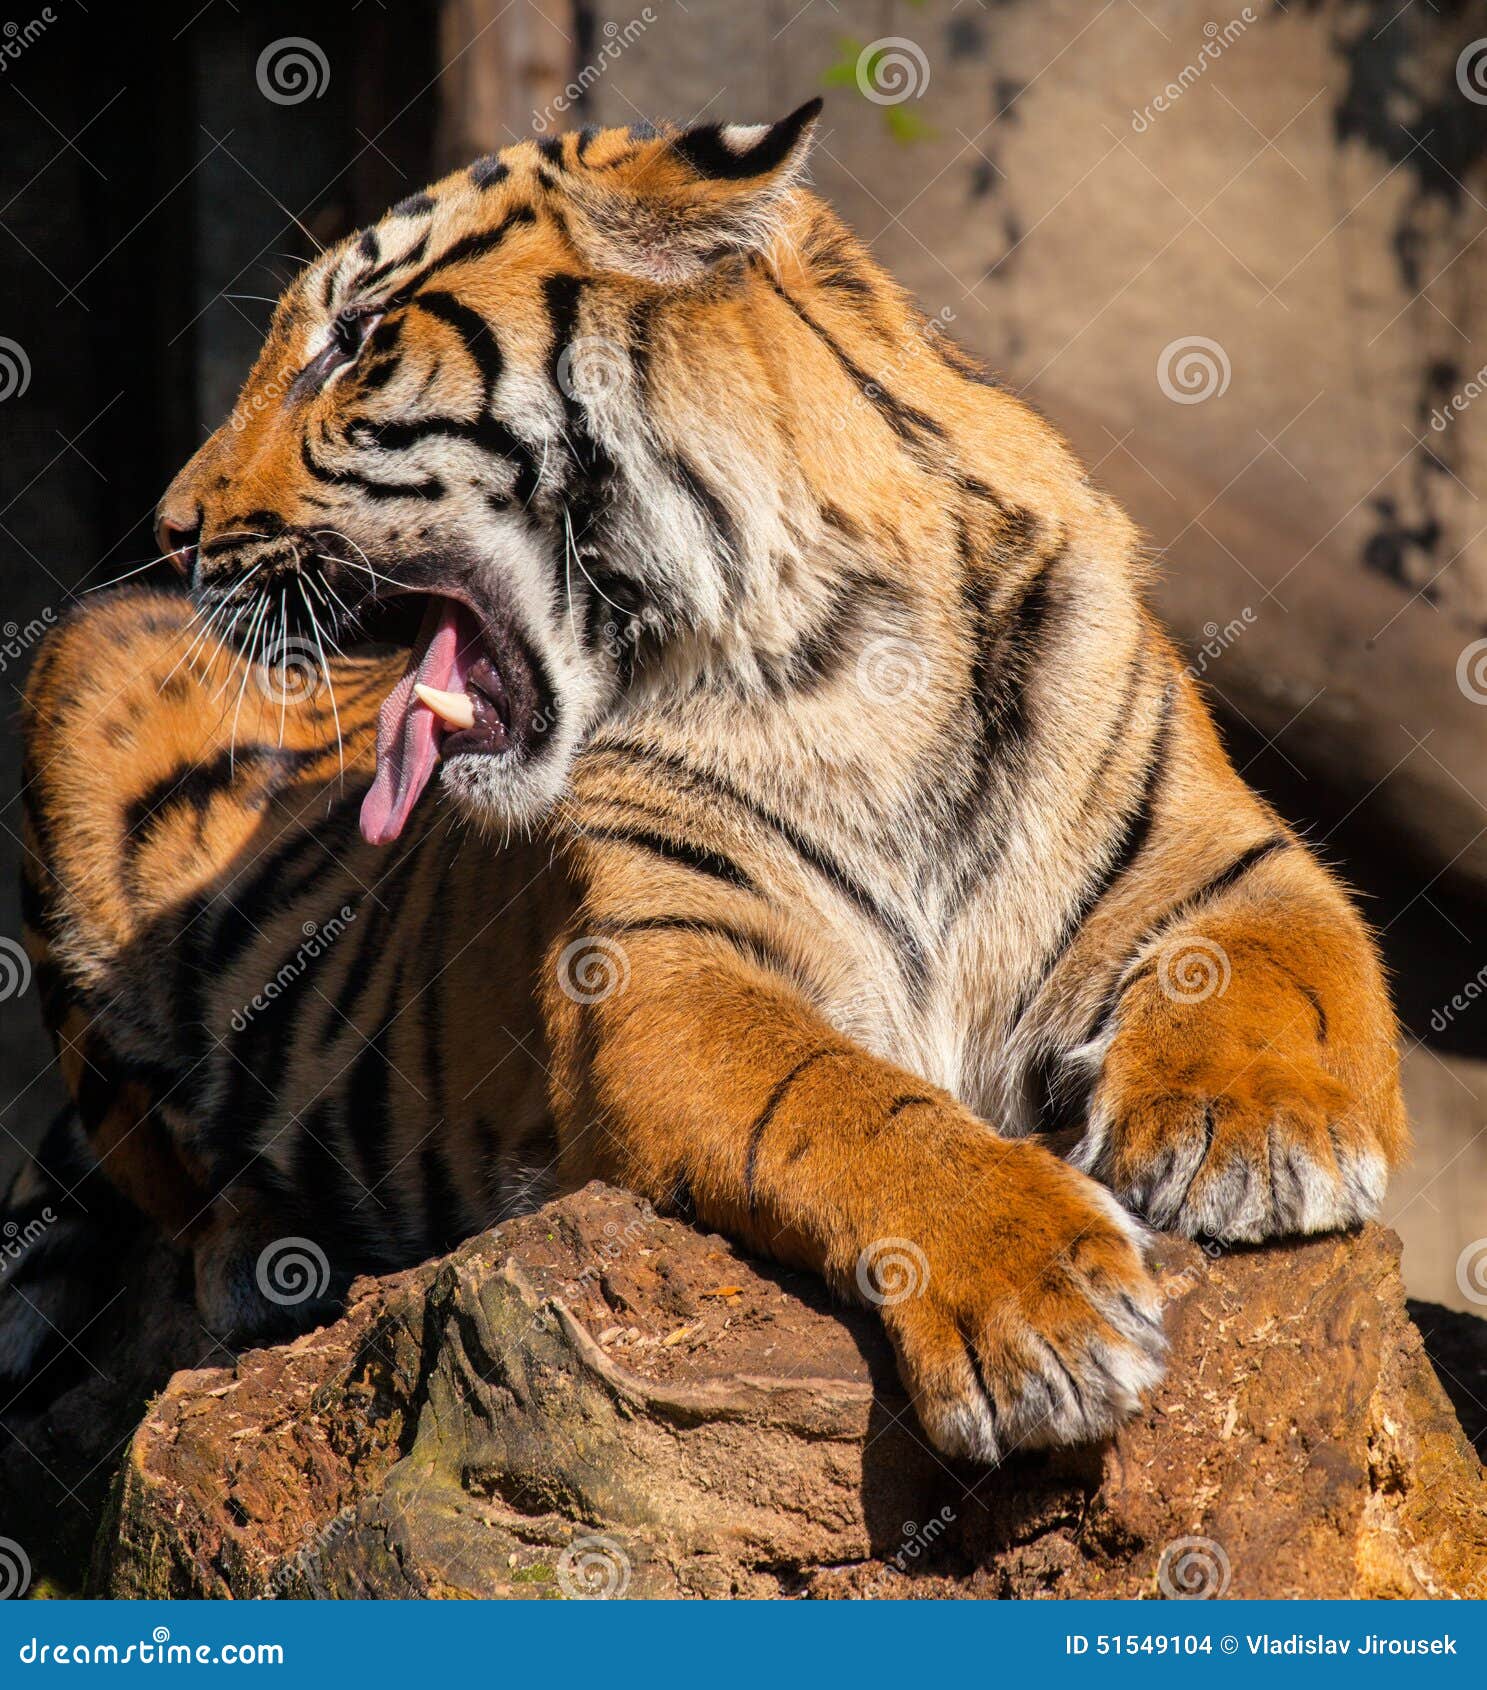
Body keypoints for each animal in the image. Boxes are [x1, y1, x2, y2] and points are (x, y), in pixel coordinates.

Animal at [4, 99, 1408, 1465]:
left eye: (352, 340)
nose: (171, 534)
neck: (852, 649)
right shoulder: (654, 968)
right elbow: (845, 1100)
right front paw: (1041, 1300)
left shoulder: (1223, 850)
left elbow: (1275, 963)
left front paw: (1247, 1133)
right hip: (74, 691)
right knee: (156, 1163)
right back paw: (259, 1255)